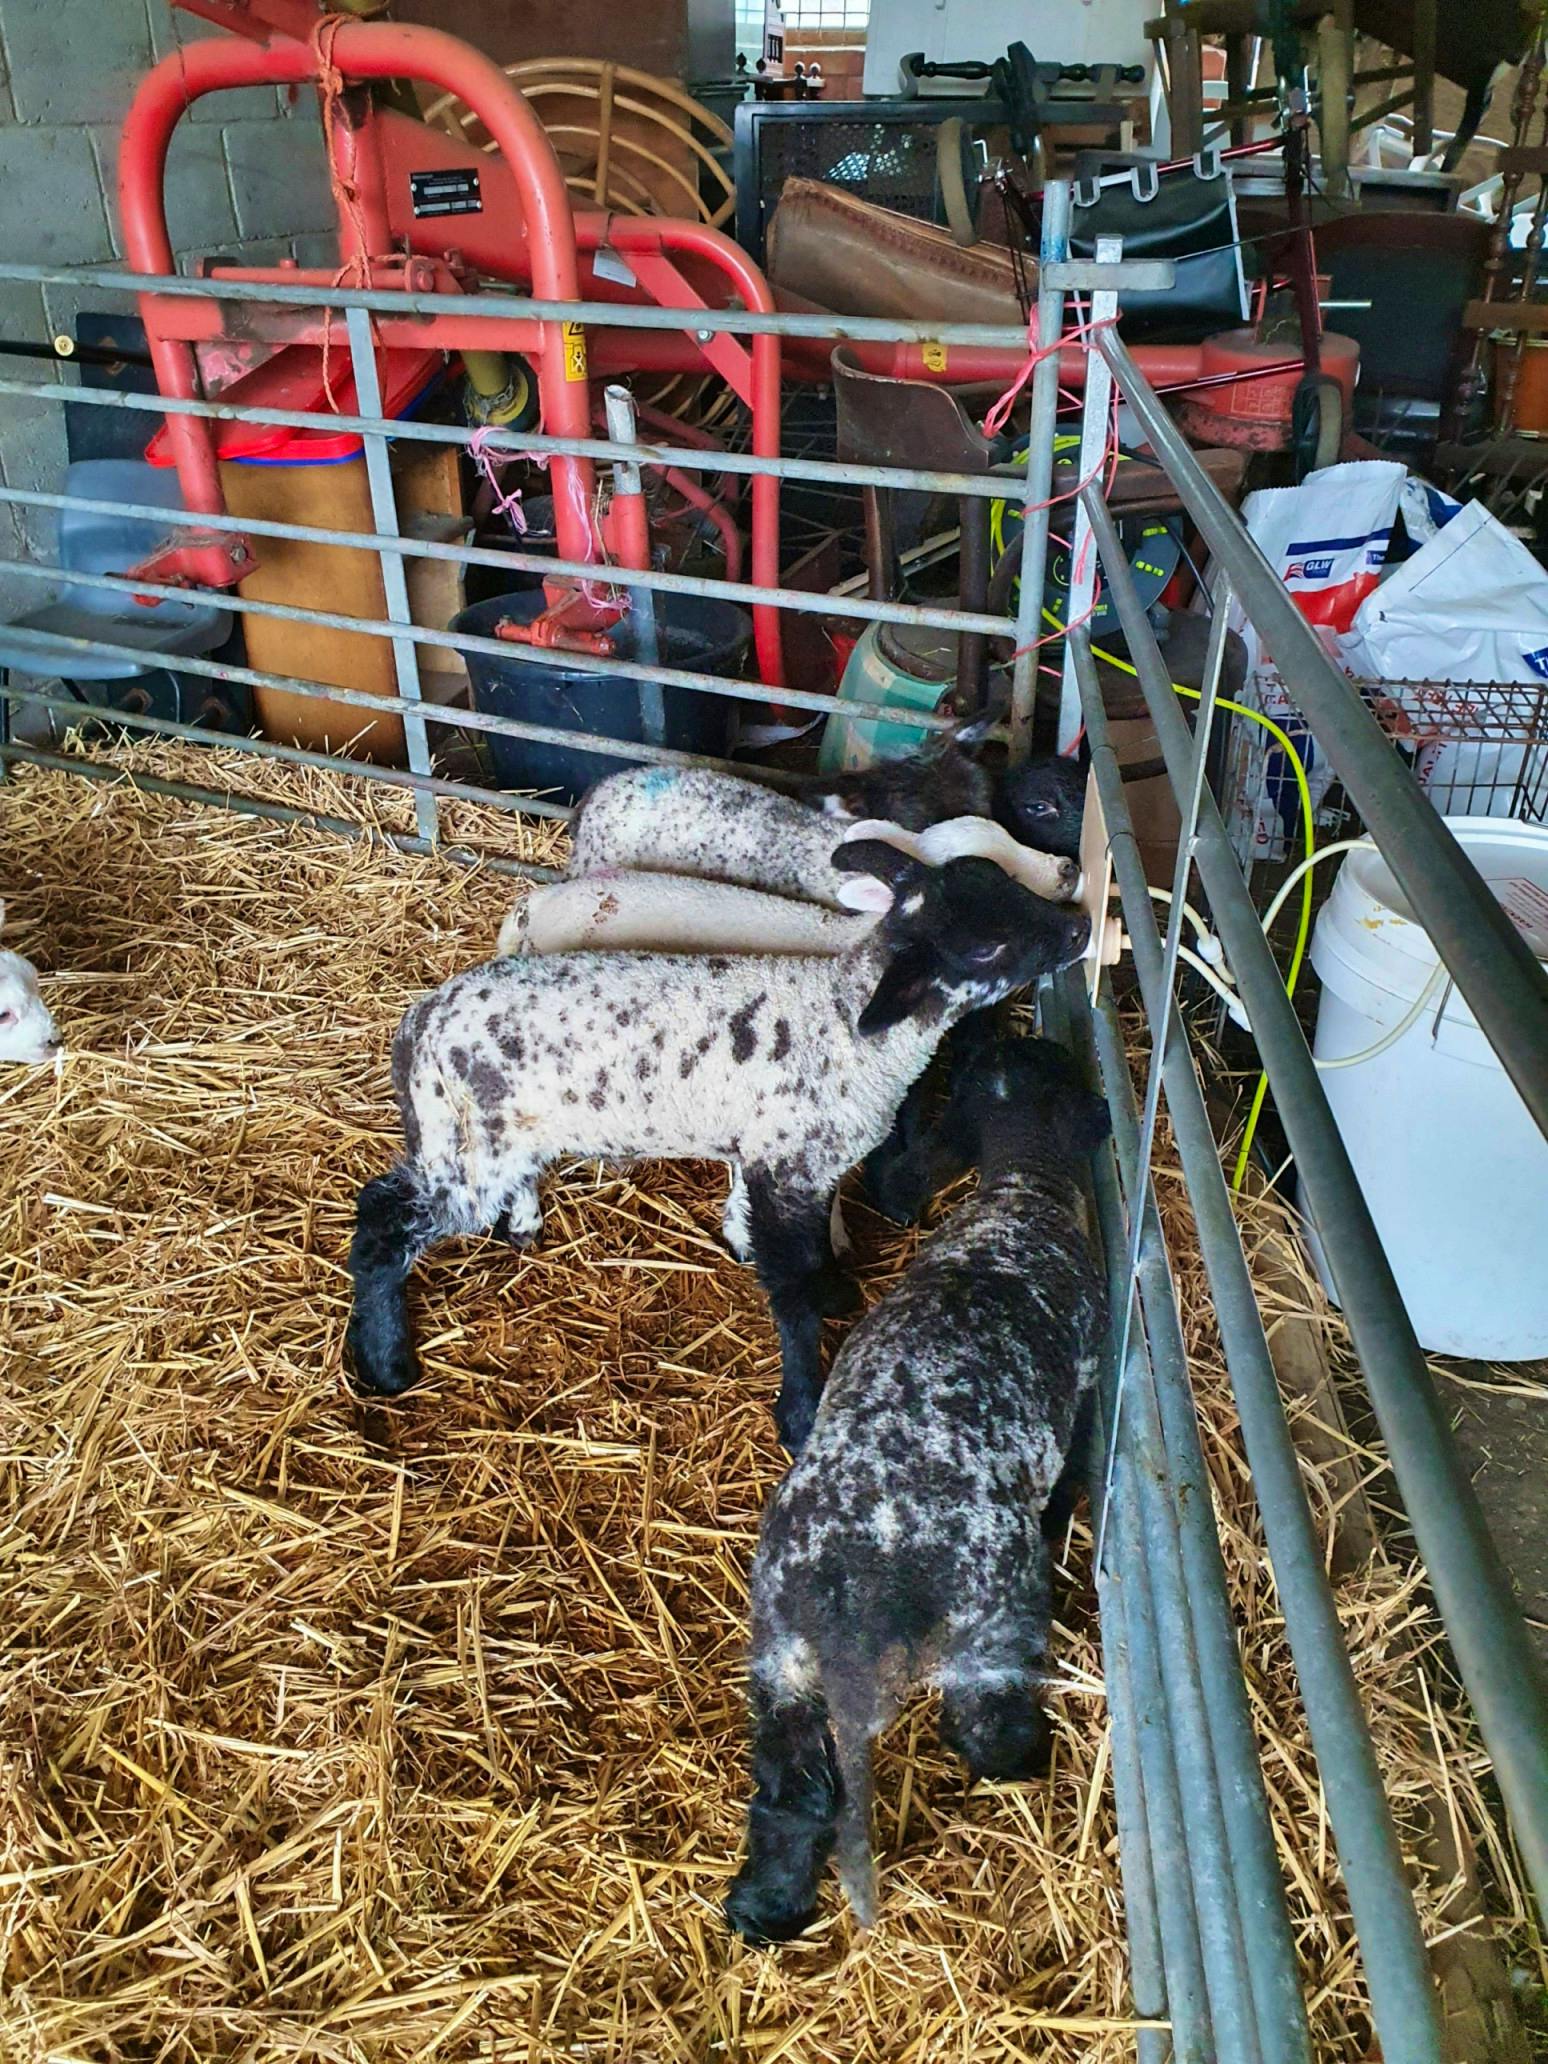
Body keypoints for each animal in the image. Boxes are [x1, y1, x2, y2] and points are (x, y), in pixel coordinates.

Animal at [347, 845, 1091, 1450]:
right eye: (988, 948)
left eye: (1004, 881)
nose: (1080, 927)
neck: (847, 1026)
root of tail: (419, 1023)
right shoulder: (784, 1166)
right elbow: (791, 1286)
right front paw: (801, 1410)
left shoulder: (781, 1156)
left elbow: (793, 1239)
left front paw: (826, 1284)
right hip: (464, 1143)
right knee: (382, 1220)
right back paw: (384, 1361)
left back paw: (520, 1225)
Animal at [722, 1033, 1111, 1945]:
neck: (1019, 1197)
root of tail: (861, 1579)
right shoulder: (1082, 1384)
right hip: (991, 1608)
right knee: (981, 1724)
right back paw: (1024, 1758)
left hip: (780, 1659)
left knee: (793, 1795)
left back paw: (764, 1910)